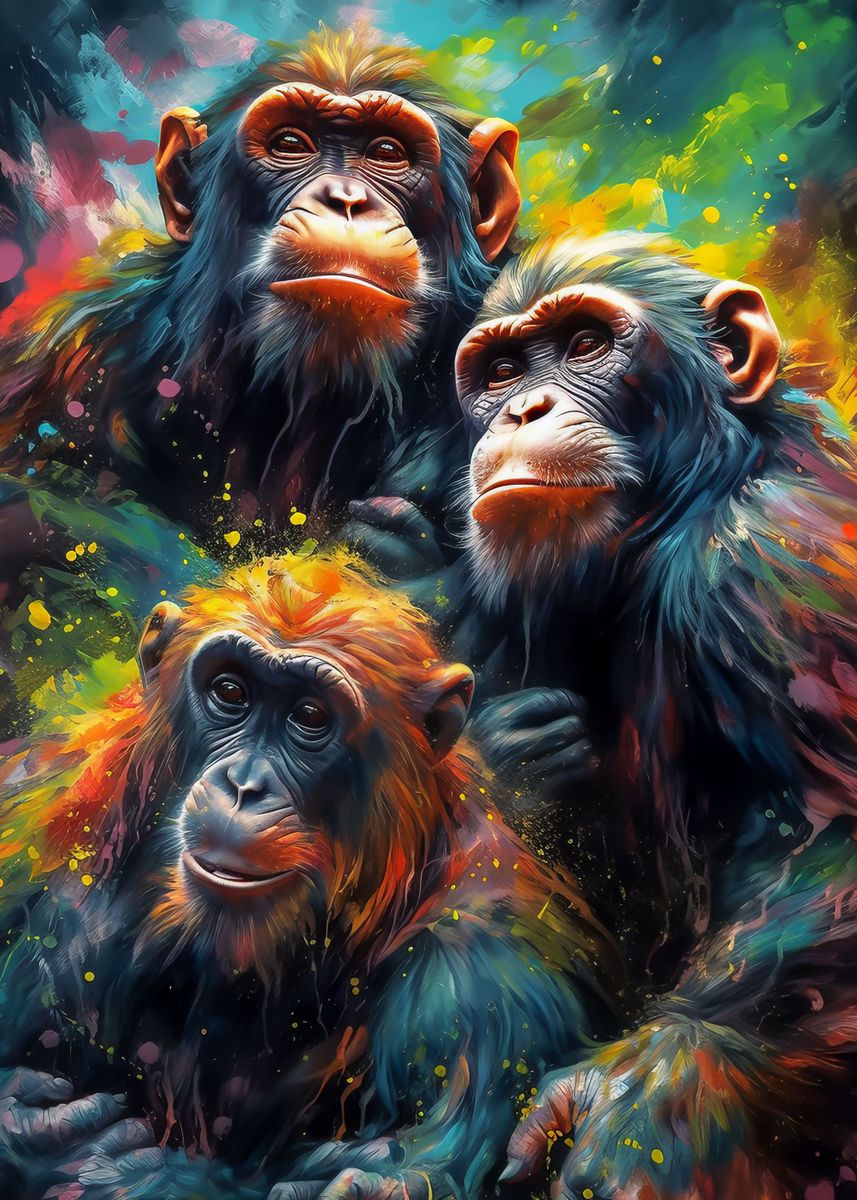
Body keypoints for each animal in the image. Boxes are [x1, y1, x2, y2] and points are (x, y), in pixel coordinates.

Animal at [0, 550, 616, 1200]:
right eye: (230, 691)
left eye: (310, 716)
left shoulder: (487, 965)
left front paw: (95, 1163)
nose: (245, 786)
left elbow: (397, 1169)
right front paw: (40, 1133)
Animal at [426, 232, 857, 1198]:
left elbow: (830, 837)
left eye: (586, 346)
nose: (523, 410)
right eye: (501, 370)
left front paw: (664, 1086)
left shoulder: (766, 560)